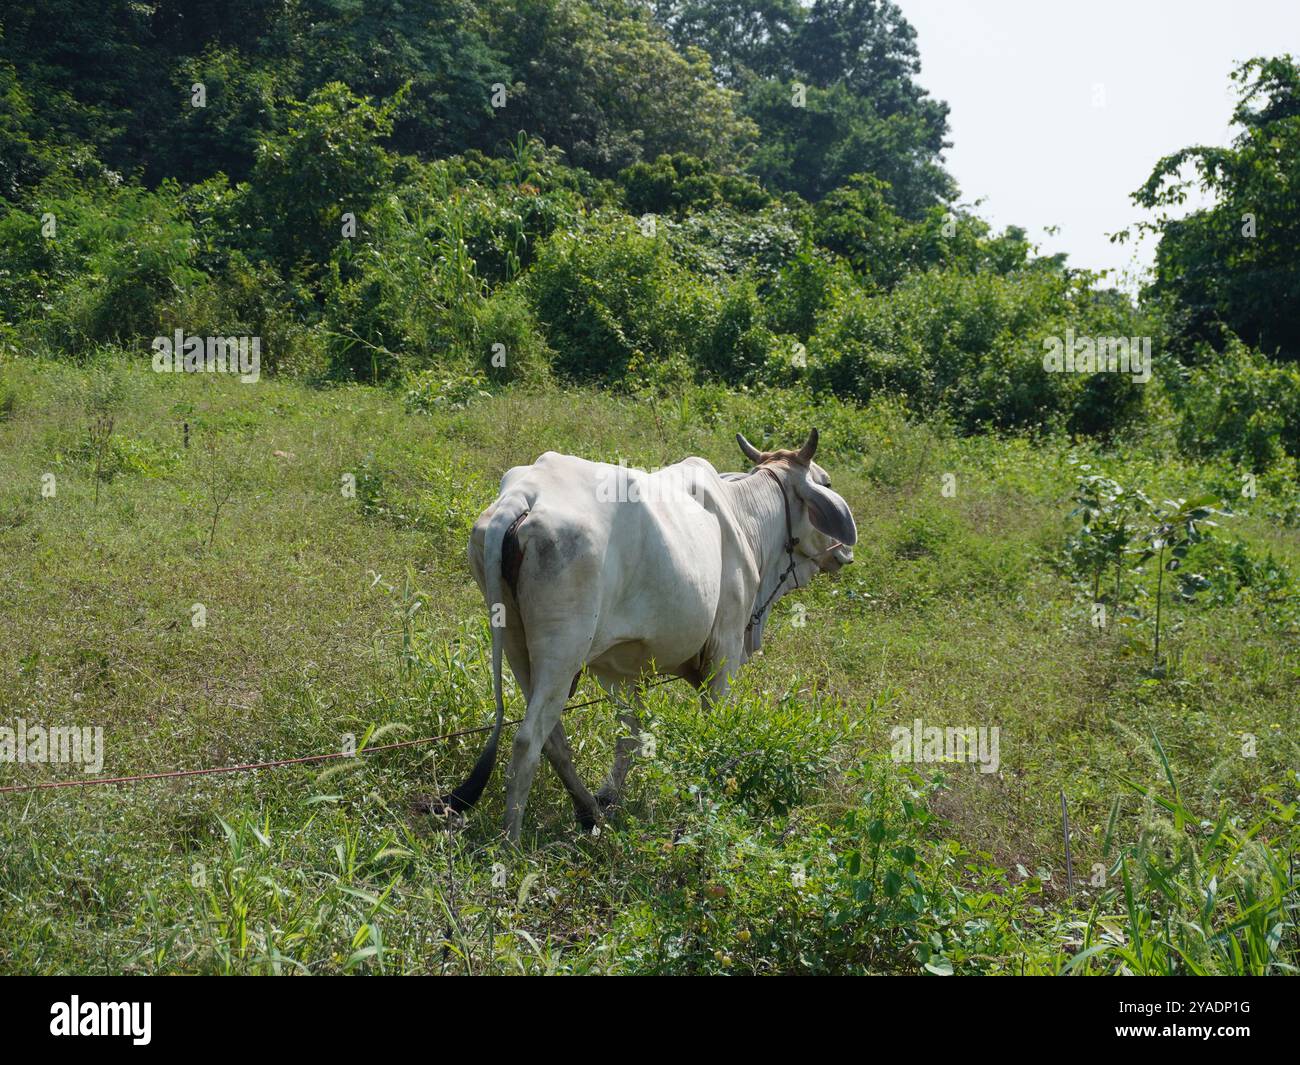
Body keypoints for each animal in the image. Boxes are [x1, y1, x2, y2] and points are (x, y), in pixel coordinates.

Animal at [433, 428, 857, 843]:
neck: (746, 517)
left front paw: (609, 797)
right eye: (827, 482)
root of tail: (524, 497)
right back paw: (513, 846)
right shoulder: (726, 649)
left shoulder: (620, 670)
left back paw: (588, 812)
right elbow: (715, 734)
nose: (844, 554)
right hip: (562, 651)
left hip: (516, 645)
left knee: (553, 738)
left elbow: (630, 738)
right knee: (527, 742)